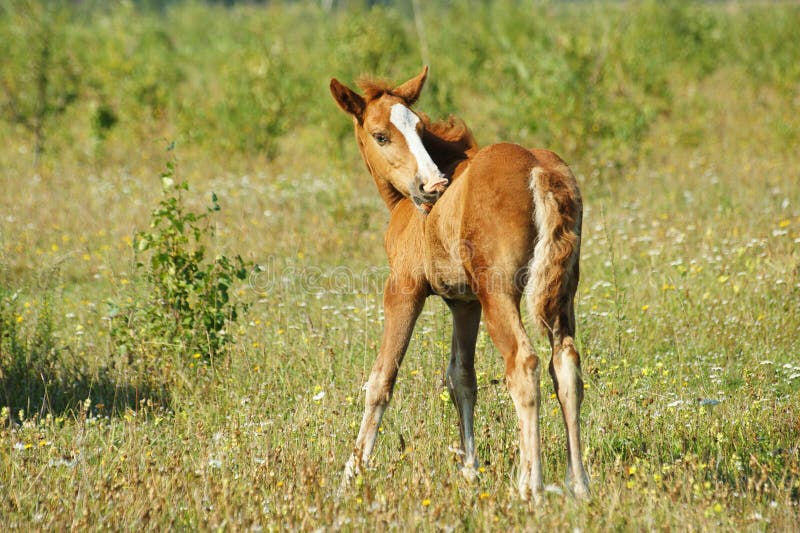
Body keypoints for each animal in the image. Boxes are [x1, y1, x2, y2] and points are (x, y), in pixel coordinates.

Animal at [330, 66, 590, 500]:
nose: (433, 186)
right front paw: (471, 471)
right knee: (566, 366)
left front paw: (351, 473)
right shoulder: (465, 304)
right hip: (561, 293)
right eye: (382, 134)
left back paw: (530, 487)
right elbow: (461, 378)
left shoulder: (404, 289)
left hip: (500, 292)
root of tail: (539, 170)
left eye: (418, 127)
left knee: (524, 364)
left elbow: (382, 379)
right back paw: (579, 484)